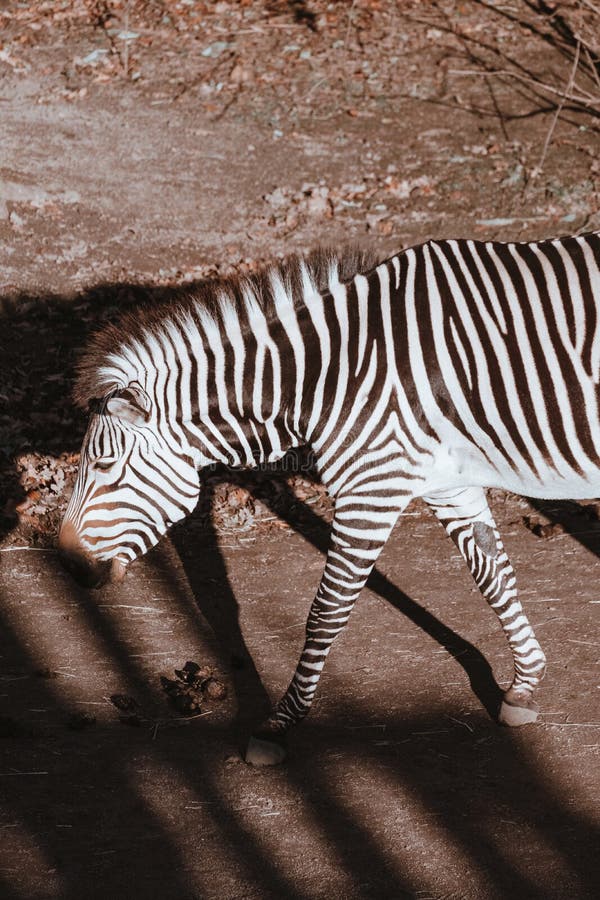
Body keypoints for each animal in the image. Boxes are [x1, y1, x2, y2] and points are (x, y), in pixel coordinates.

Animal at [59, 234, 600, 765]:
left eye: (103, 466)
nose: (67, 564)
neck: (333, 376)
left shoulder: (372, 488)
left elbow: (326, 611)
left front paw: (279, 725)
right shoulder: (448, 482)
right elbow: (493, 575)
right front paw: (523, 686)